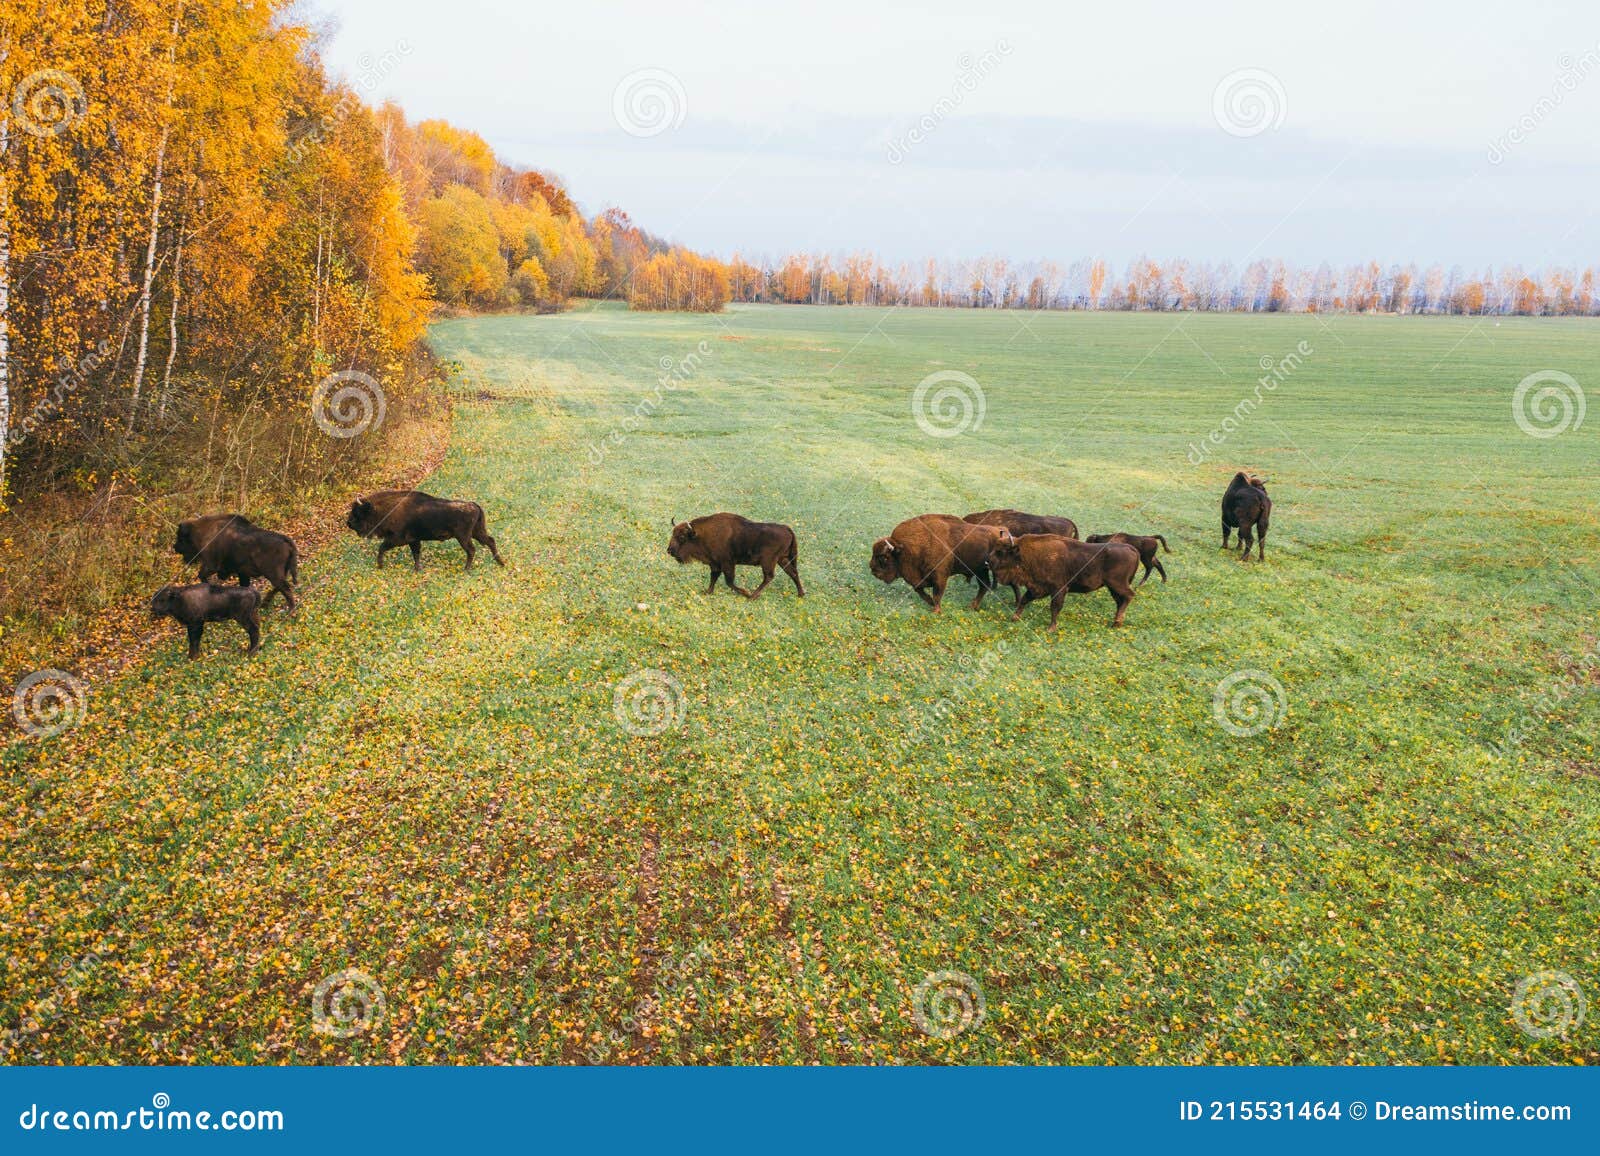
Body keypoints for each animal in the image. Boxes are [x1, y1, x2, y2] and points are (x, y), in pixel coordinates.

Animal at [347, 490, 505, 570]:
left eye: (358, 512)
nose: (348, 523)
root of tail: (473, 505)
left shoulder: (397, 539)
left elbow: (382, 548)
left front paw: (380, 566)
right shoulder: (414, 540)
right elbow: (416, 554)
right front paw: (418, 569)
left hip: (463, 536)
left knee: (471, 550)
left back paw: (466, 569)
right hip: (477, 532)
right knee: (490, 541)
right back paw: (500, 562)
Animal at [667, 513, 804, 598]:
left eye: (682, 537)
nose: (669, 550)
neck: (700, 535)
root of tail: (787, 529)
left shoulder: (727, 563)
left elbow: (729, 581)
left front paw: (745, 592)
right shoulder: (715, 564)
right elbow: (714, 577)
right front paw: (708, 592)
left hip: (768, 561)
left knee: (769, 576)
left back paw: (752, 596)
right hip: (782, 559)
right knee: (793, 573)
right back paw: (801, 594)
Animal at [870, 515, 1013, 612]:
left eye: (884, 557)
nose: (873, 570)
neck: (907, 548)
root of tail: (1000, 531)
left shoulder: (940, 577)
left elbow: (937, 594)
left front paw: (936, 610)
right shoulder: (920, 580)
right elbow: (921, 591)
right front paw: (931, 604)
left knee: (984, 586)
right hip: (980, 570)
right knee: (984, 586)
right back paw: (972, 606)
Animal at [988, 534, 1140, 629]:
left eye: (1001, 552)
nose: (988, 561)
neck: (1024, 553)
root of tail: (1131, 549)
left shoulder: (1058, 589)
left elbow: (1055, 607)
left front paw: (1051, 628)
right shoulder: (1038, 588)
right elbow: (1024, 599)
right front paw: (1014, 618)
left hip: (1117, 584)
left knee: (1129, 595)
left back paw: (1117, 622)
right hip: (1112, 587)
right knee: (1120, 601)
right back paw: (1115, 623)